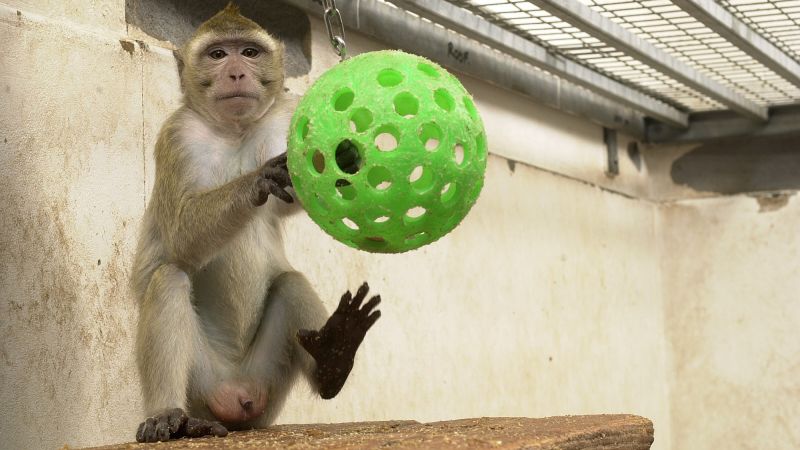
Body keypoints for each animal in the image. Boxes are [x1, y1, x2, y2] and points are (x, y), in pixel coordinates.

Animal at [130, 3, 381, 442]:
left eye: (249, 52)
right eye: (217, 55)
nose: (235, 74)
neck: (233, 131)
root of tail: (238, 395)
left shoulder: (281, 122)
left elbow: (306, 193)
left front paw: (345, 159)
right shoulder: (178, 137)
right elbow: (179, 235)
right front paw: (258, 180)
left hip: (267, 379)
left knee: (290, 283)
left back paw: (333, 358)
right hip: (204, 384)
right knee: (168, 279)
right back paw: (170, 416)